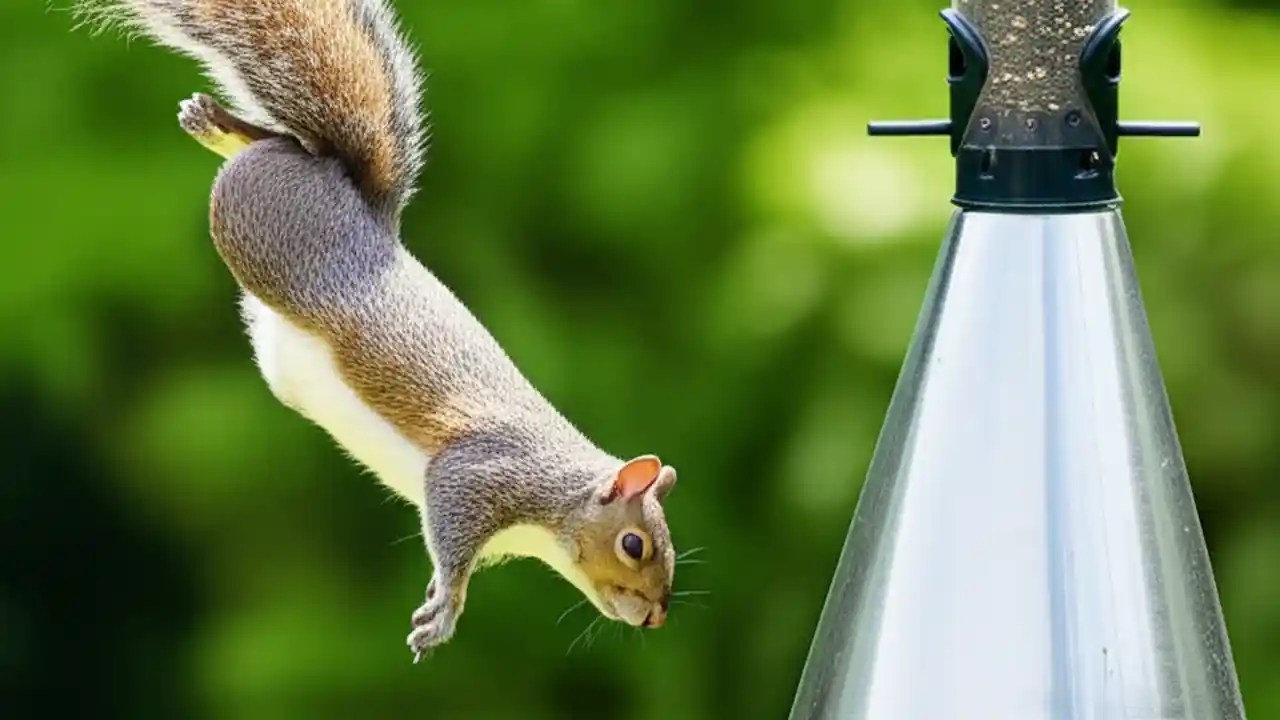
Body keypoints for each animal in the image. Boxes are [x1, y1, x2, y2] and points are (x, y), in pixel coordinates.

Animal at [76, 0, 679, 661]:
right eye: (634, 545)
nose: (656, 617)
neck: (557, 499)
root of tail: (362, 208)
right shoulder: (480, 477)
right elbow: (454, 538)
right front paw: (445, 610)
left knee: (289, 144)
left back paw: (217, 124)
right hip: (256, 235)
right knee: (272, 160)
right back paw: (219, 128)